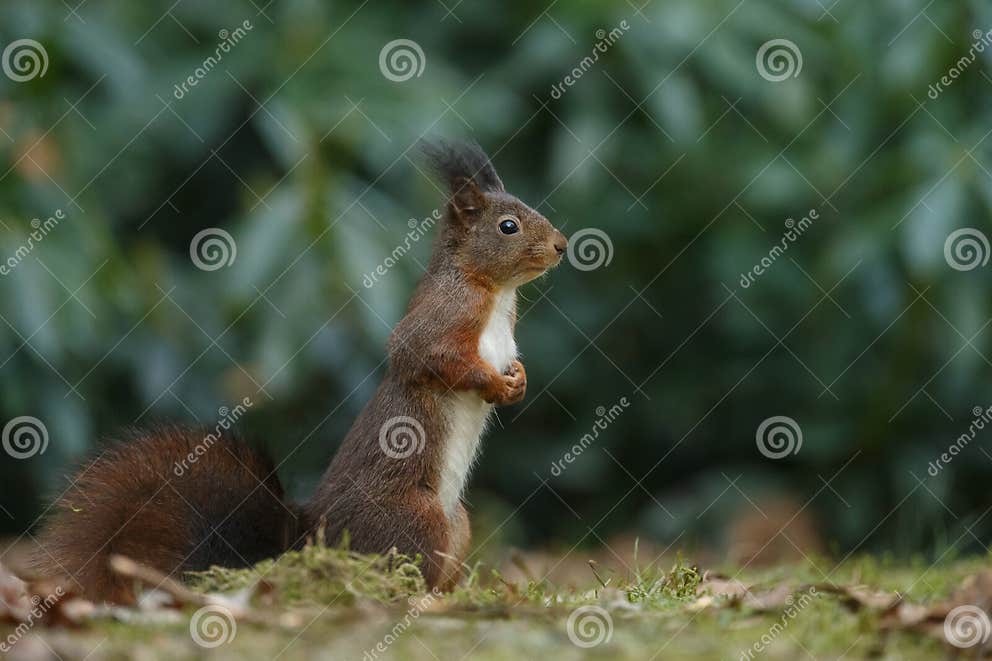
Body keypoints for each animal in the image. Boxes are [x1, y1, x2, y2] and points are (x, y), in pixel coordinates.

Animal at [32, 141, 568, 603]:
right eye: (508, 227)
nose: (563, 245)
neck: (495, 293)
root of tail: (314, 539)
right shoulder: (439, 321)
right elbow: (430, 358)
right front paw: (494, 383)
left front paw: (518, 381)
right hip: (421, 520)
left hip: (457, 526)